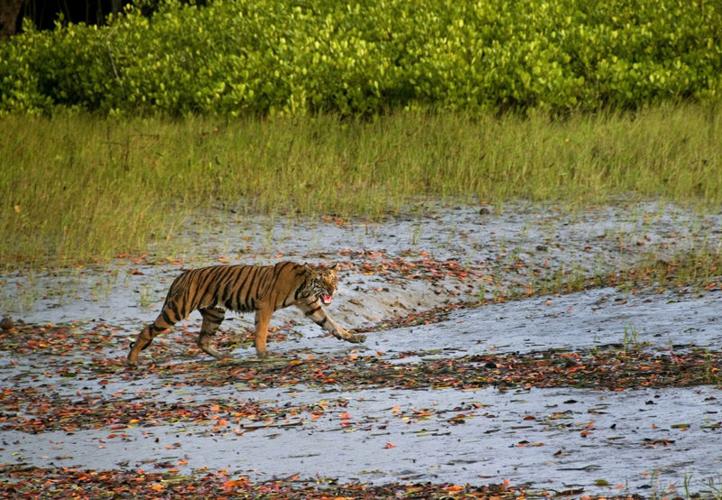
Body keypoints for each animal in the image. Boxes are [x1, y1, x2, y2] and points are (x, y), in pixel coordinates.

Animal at [126, 261, 364, 367]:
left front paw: (353, 337)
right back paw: (132, 360)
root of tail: (181, 276)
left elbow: (330, 323)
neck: (304, 287)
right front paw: (263, 354)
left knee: (202, 340)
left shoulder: (311, 306)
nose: (332, 290)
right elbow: (261, 331)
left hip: (215, 313)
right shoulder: (265, 305)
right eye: (322, 281)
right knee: (147, 330)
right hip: (178, 309)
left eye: (333, 279)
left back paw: (225, 357)